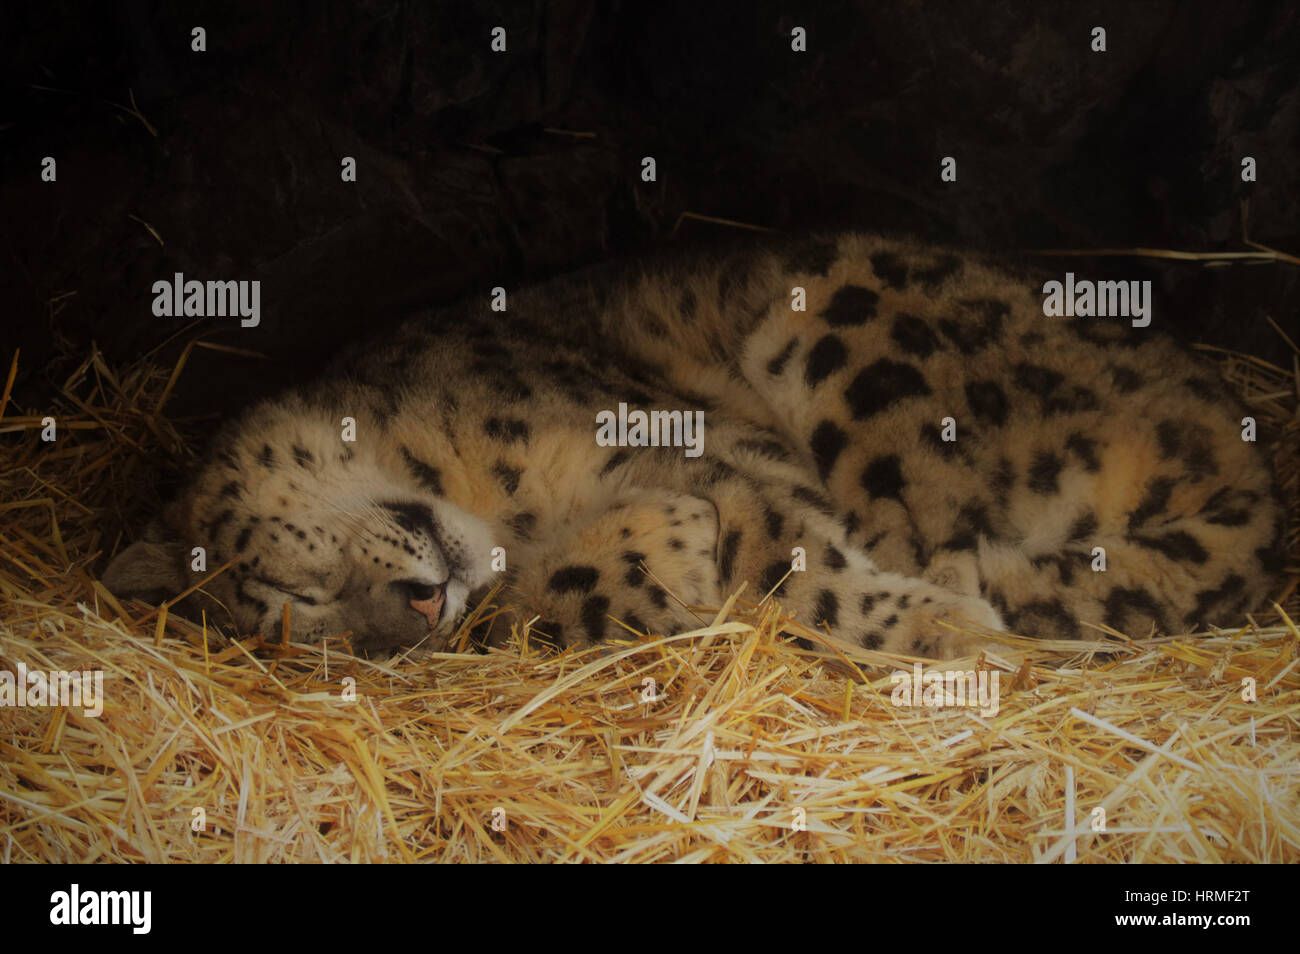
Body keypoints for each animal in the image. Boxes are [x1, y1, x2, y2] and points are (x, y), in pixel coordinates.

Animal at [102, 233, 1286, 659]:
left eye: (290, 587)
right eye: (326, 644)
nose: (420, 611)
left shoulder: (699, 444)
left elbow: (797, 563)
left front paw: (949, 637)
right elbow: (561, 600)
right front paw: (649, 558)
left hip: (849, 323)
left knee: (929, 528)